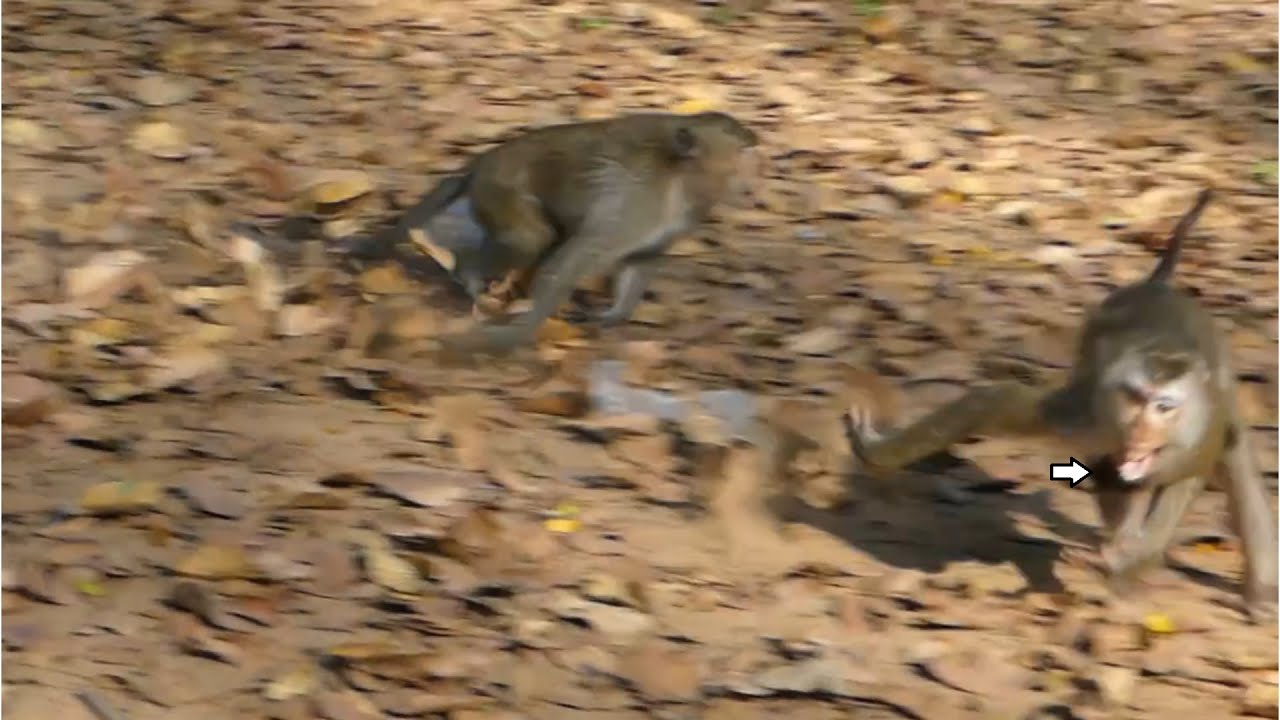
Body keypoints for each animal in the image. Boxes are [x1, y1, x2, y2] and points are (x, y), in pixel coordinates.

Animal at [843, 189, 1277, 621]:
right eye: (1135, 398)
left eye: (1164, 407)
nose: (1139, 434)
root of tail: (1158, 289)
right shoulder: (1088, 415)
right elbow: (1000, 401)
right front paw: (875, 451)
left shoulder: (1197, 435)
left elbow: (1191, 474)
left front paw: (1127, 563)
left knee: (1232, 451)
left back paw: (1255, 590)